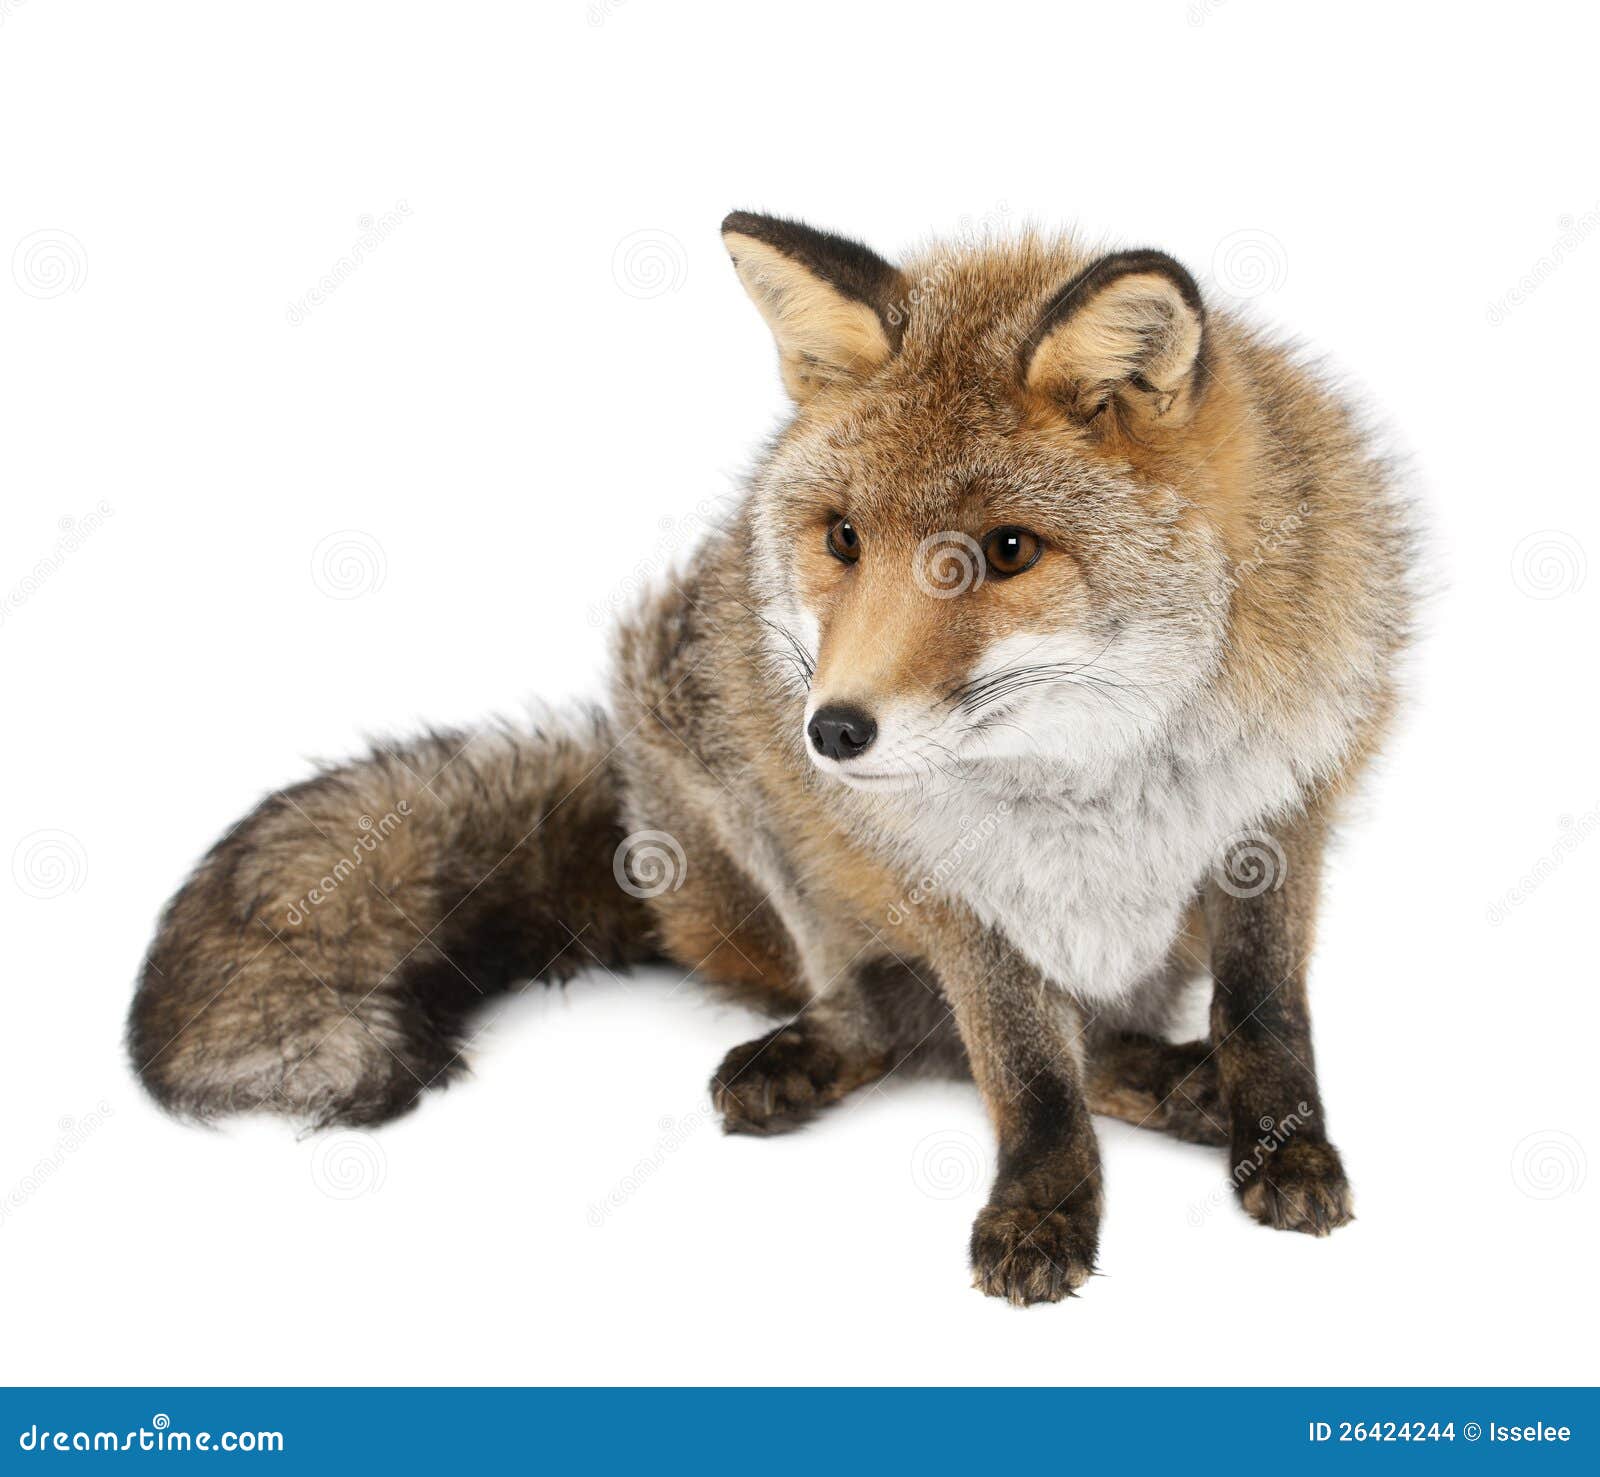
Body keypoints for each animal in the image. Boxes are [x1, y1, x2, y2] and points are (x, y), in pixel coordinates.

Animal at [128, 211, 1416, 1304]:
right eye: (844, 538)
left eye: (1006, 551)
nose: (833, 731)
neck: (1090, 775)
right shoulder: (946, 880)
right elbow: (1021, 1068)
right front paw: (1045, 1203)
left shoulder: (1279, 816)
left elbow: (1263, 1016)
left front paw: (1280, 1145)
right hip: (711, 737)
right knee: (900, 1023)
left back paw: (1181, 1083)